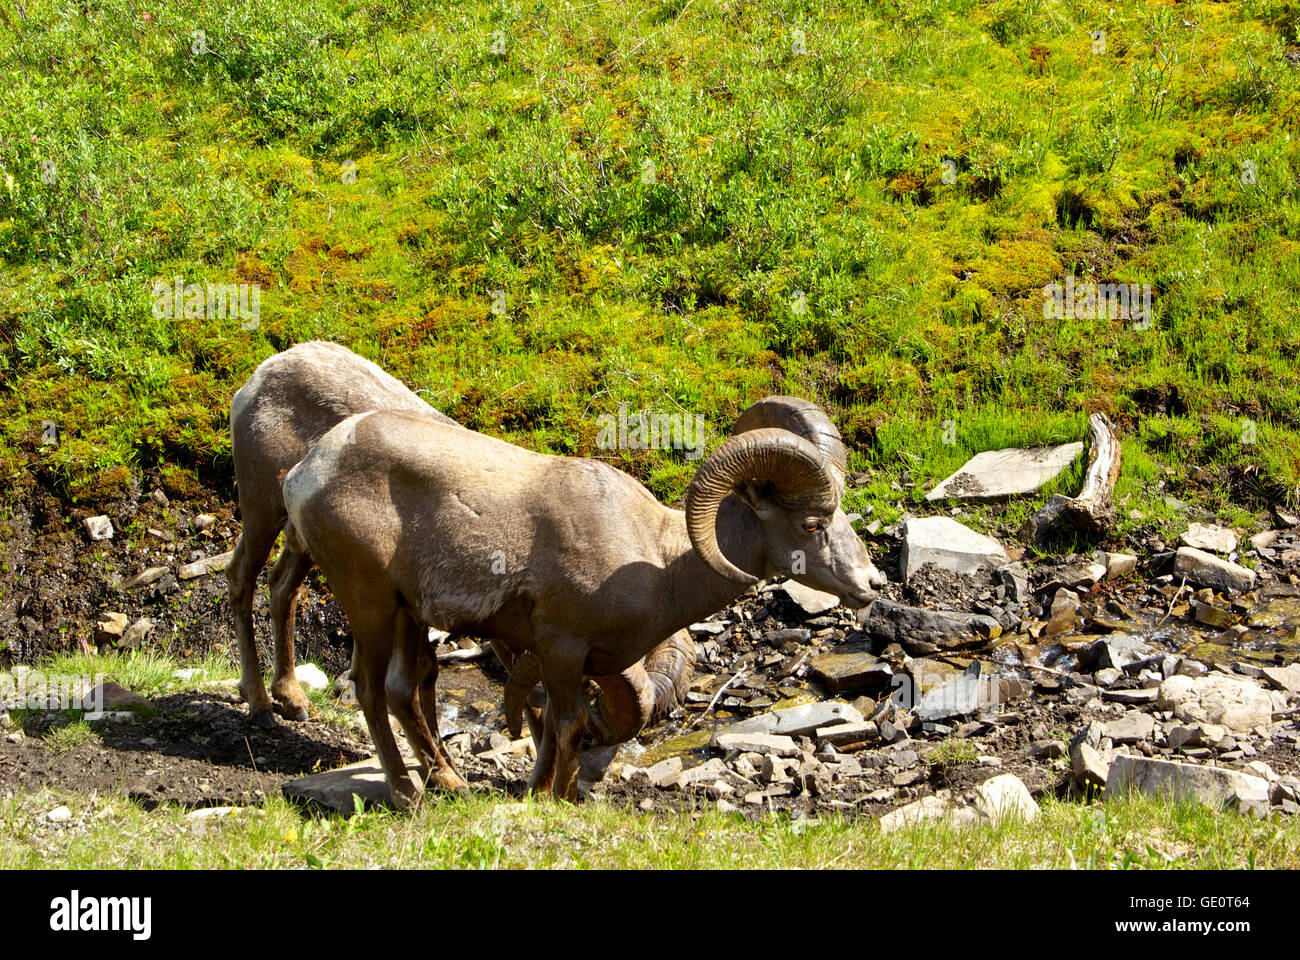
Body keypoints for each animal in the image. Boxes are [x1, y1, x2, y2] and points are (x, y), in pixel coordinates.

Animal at [227, 341, 692, 743]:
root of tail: (263, 376)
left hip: (305, 545)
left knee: (282, 589)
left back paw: (292, 700)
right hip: (262, 511)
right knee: (241, 580)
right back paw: (261, 705)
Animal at [281, 396, 883, 803]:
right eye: (811, 524)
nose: (871, 584)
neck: (659, 560)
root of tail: (307, 472)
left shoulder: (561, 662)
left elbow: (549, 727)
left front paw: (538, 791)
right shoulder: (561, 649)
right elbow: (566, 725)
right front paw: (557, 798)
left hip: (408, 614)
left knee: (403, 691)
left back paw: (452, 783)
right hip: (371, 605)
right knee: (369, 689)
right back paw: (409, 796)